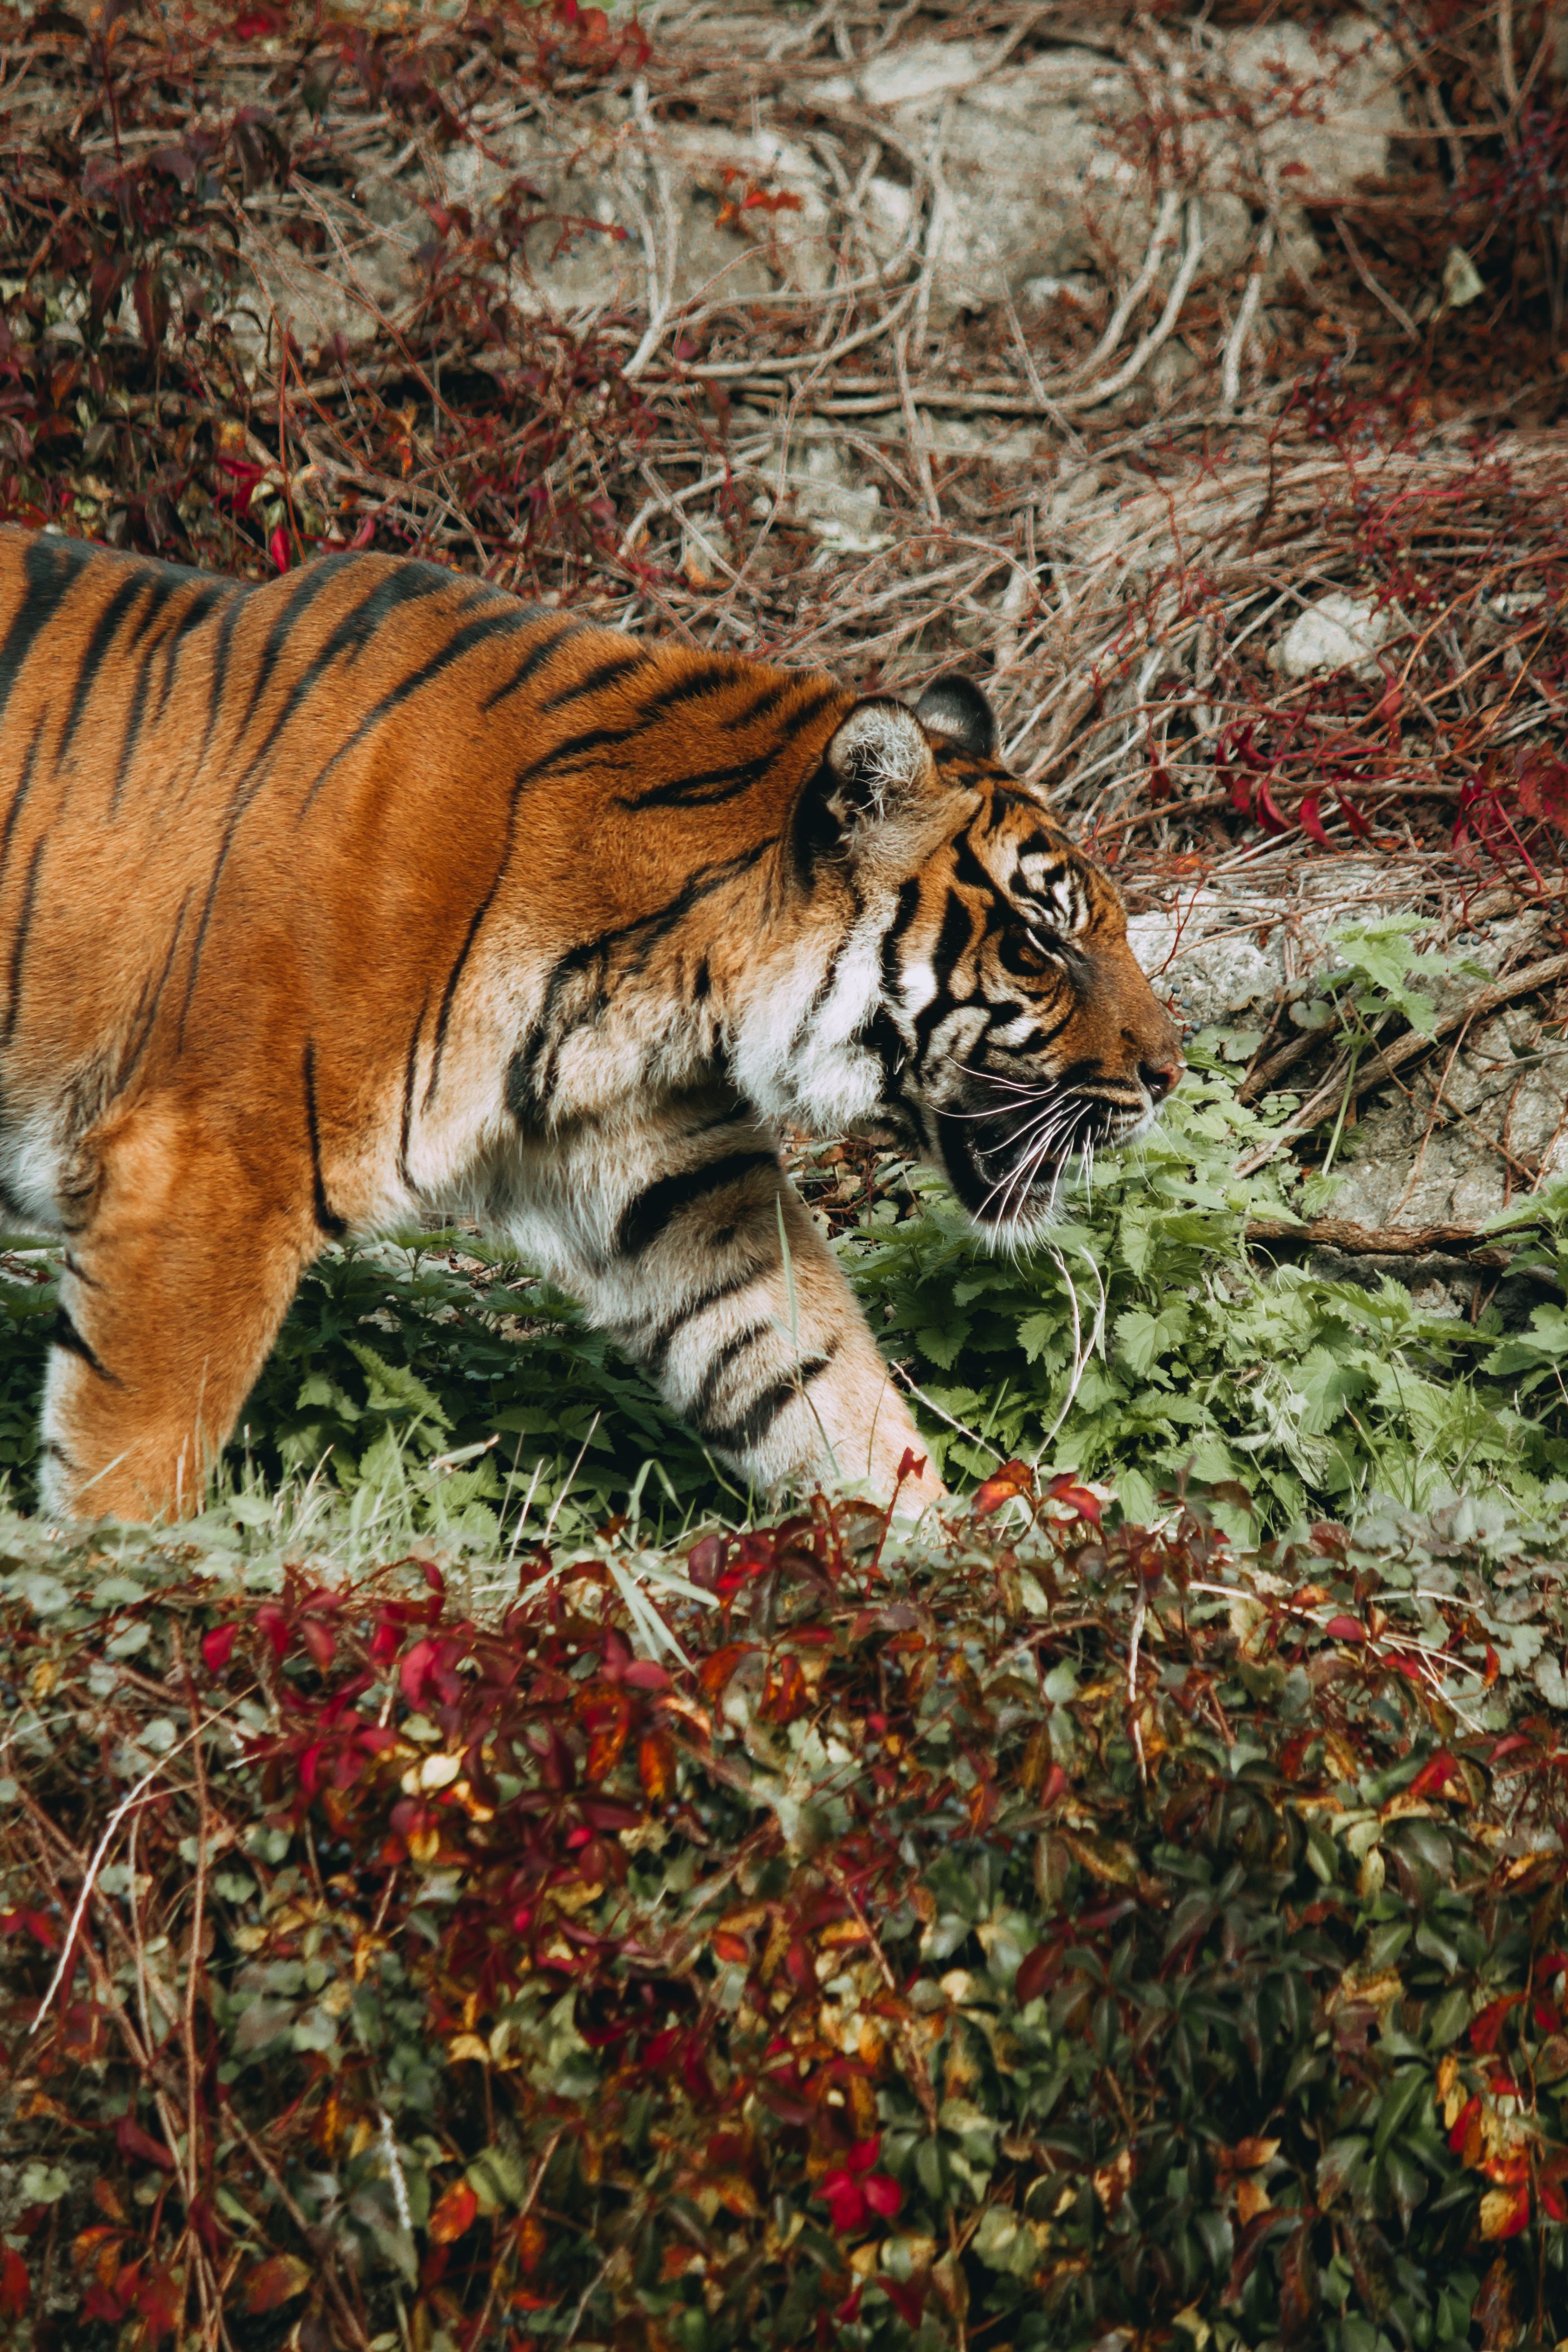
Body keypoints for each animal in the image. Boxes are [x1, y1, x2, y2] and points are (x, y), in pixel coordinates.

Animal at [0, 524, 1183, 1524]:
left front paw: (958, 1566)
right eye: (1038, 944)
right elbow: (138, 1450)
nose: (1170, 1073)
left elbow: (811, 1370)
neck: (664, 979)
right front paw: (125, 1592)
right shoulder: (209, 1167)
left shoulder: (674, 1183)